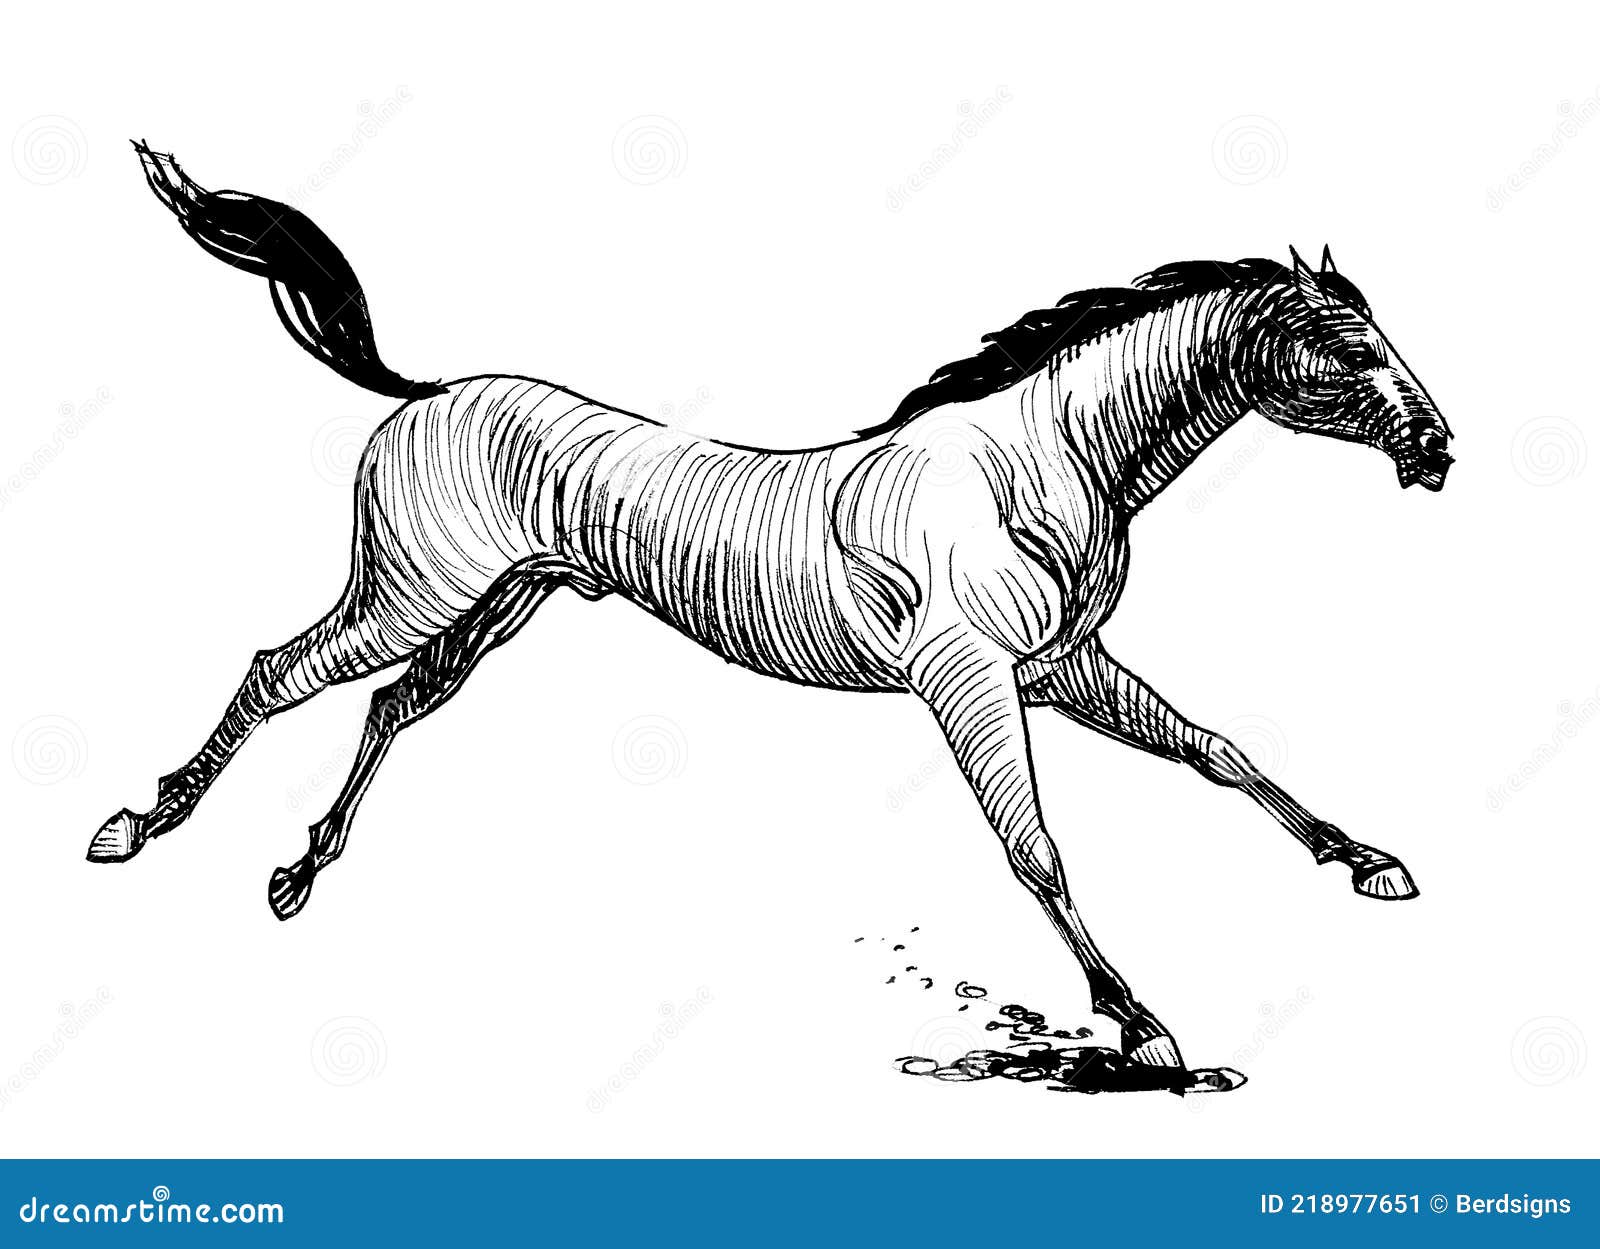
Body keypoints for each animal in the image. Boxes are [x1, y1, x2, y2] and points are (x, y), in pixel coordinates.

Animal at [91, 143, 1454, 1073]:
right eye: (1346, 346)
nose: (1438, 450)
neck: (1034, 462)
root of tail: (422, 391)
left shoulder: (1060, 666)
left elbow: (1216, 749)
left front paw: (1370, 863)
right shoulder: (971, 683)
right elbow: (1037, 847)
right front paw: (1142, 1021)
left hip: (493, 607)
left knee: (389, 705)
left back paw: (298, 872)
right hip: (408, 591)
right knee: (275, 669)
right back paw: (135, 828)